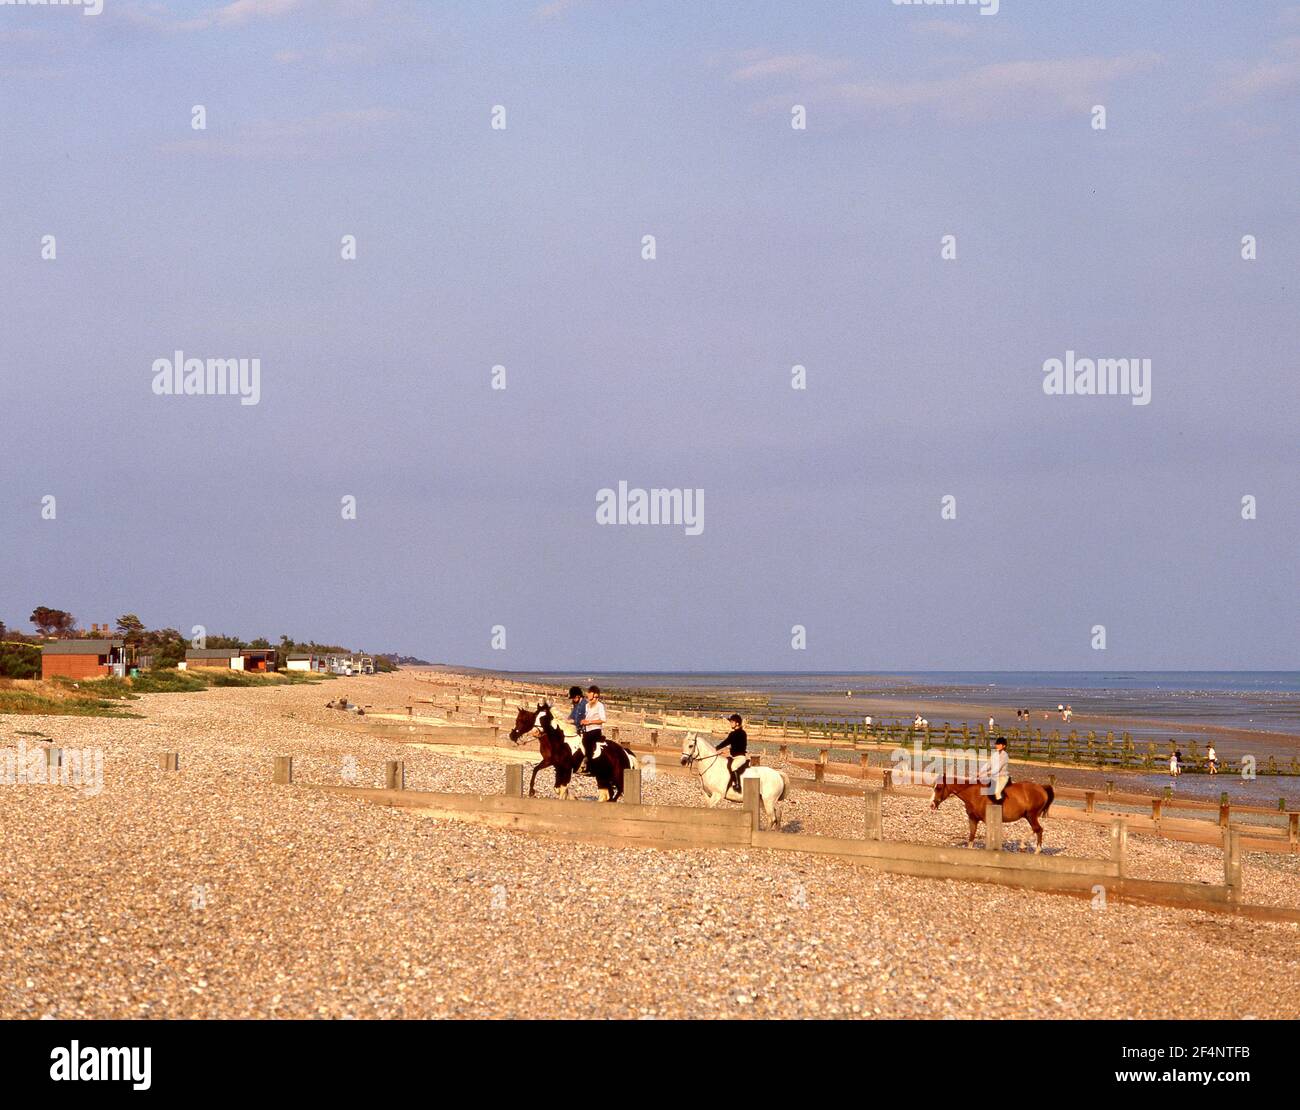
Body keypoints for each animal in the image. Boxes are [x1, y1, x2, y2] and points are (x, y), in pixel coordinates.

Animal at [508, 702, 637, 802]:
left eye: (524, 720)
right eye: (535, 716)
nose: (512, 735)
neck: (561, 741)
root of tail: (625, 752)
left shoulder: (566, 768)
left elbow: (563, 788)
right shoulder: (554, 764)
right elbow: (544, 776)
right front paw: (531, 791)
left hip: (617, 776)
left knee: (619, 791)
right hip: (603, 777)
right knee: (608, 793)